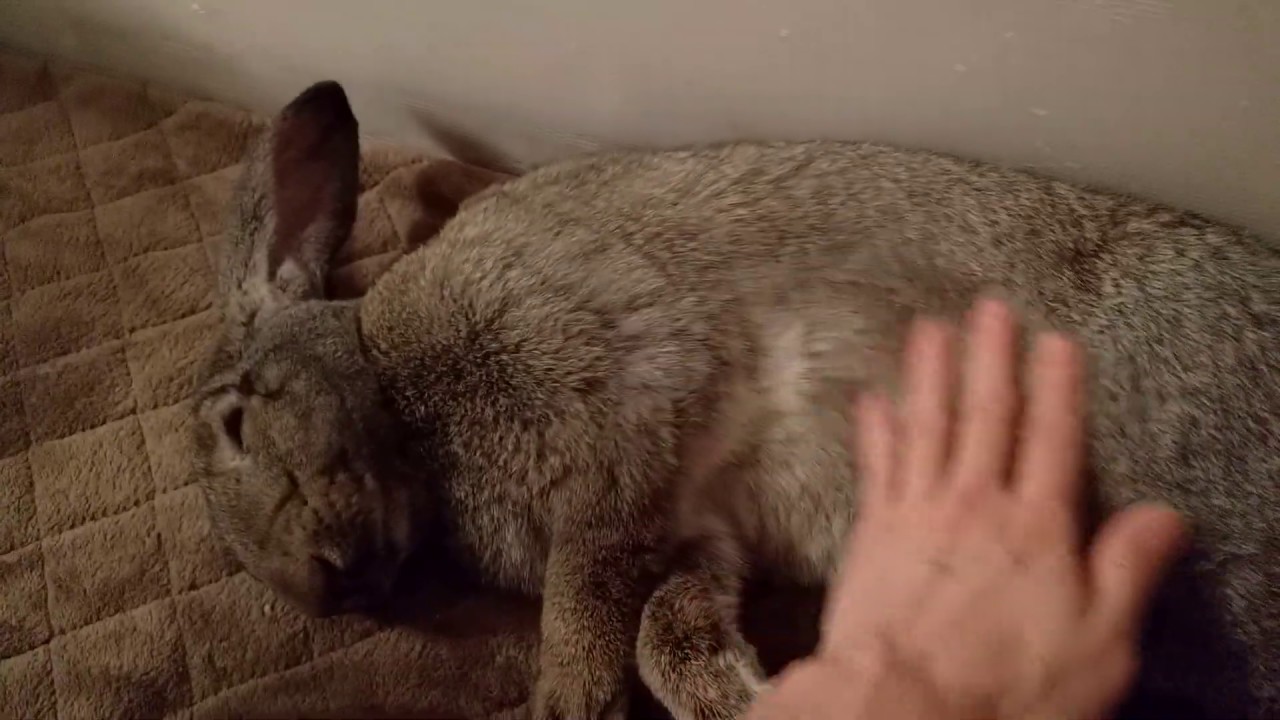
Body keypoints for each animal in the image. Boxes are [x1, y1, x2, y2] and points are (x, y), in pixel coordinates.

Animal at [192, 80, 1280, 720]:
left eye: (234, 421)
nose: (321, 593)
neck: (386, 377)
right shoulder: (692, 530)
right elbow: (663, 627)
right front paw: (738, 691)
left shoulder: (612, 406)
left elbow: (590, 596)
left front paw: (568, 700)